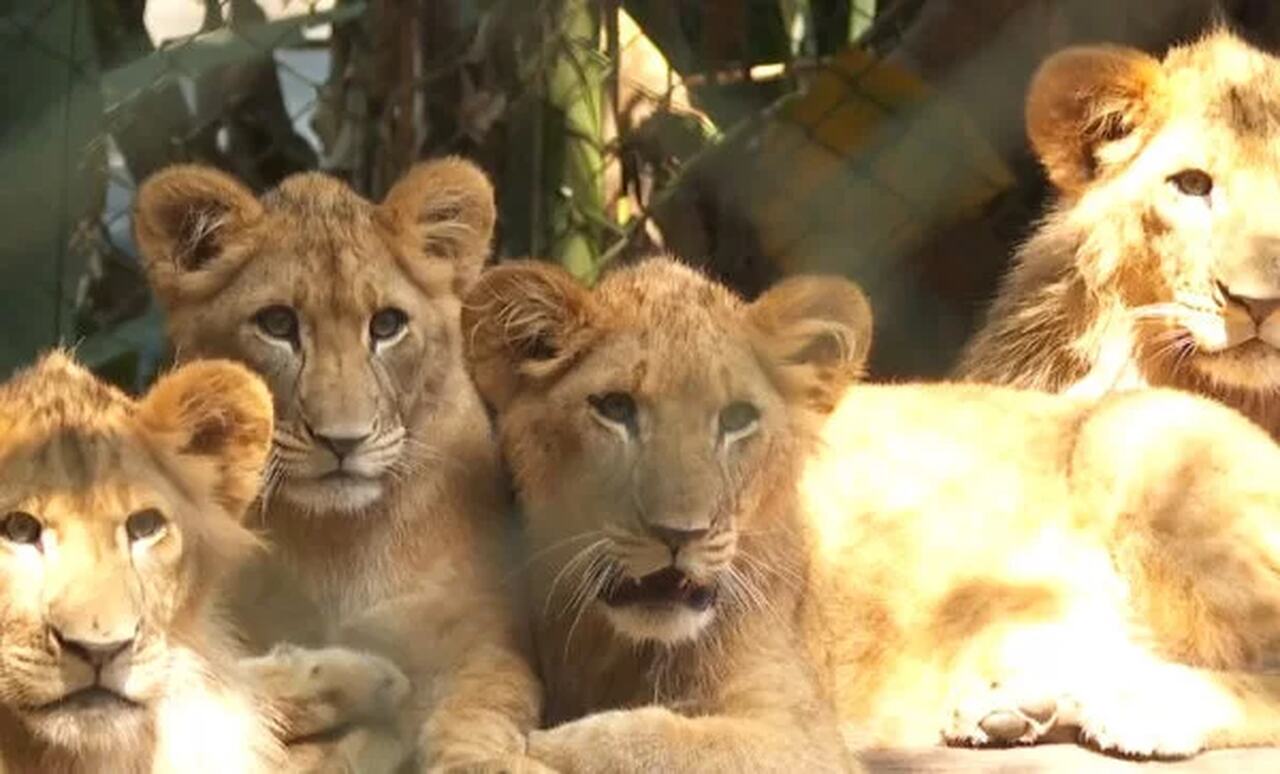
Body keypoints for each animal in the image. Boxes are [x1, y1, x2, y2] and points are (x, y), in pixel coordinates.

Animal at [133, 160, 543, 771]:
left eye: (387, 325)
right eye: (278, 324)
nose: (342, 440)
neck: (336, 544)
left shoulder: (483, 637)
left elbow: (480, 708)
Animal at [465, 255, 1280, 768]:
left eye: (736, 419)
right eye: (614, 409)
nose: (679, 535)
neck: (610, 637)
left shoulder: (800, 735)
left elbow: (655, 742)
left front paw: (540, 749)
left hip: (1142, 434)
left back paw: (1142, 707)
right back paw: (1017, 703)